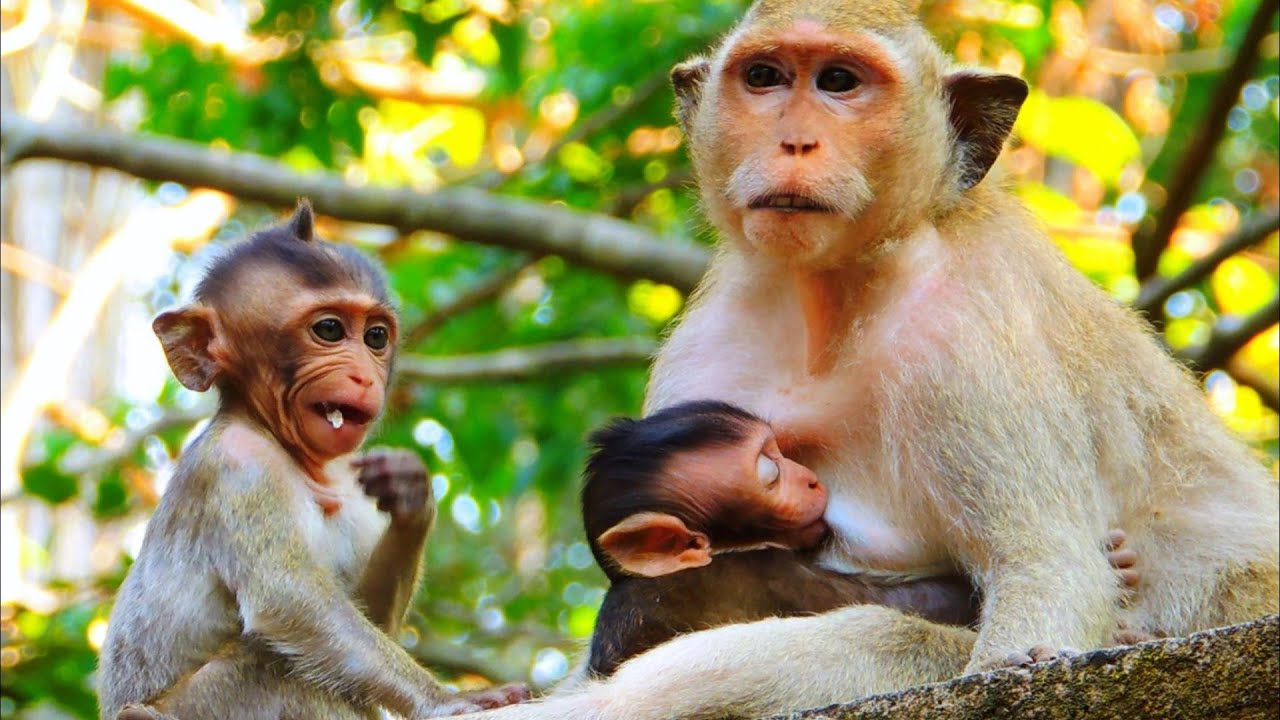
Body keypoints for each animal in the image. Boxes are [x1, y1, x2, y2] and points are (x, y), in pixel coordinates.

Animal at [98, 201, 529, 720]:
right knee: (279, 665)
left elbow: (370, 613)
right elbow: (290, 600)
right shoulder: (238, 467)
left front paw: (411, 499)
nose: (363, 376)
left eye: (376, 337)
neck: (291, 450)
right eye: (329, 330)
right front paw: (445, 699)